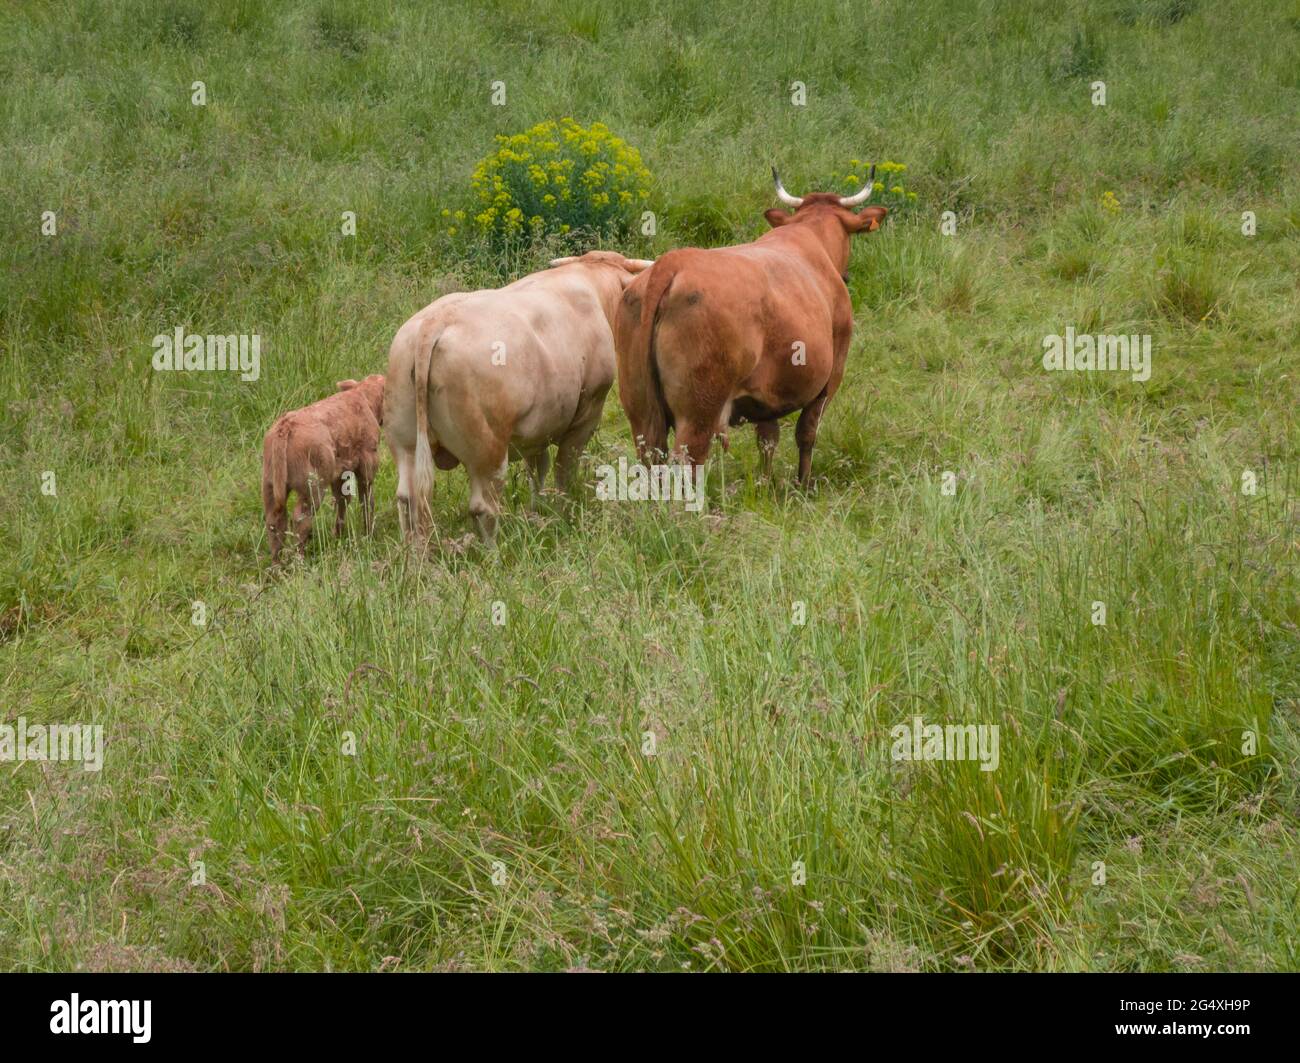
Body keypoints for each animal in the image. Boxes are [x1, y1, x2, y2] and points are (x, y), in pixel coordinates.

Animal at [261, 374, 385, 563]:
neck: (363, 399)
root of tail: (285, 427)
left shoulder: (340, 472)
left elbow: (343, 499)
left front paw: (338, 536)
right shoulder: (368, 462)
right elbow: (366, 500)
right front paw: (369, 534)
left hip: (269, 484)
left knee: (275, 521)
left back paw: (277, 565)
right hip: (313, 486)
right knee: (300, 518)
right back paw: (300, 559)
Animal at [384, 250, 654, 545]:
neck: (592, 283)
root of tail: (436, 320)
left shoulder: (537, 429)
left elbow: (538, 469)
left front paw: (538, 511)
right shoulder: (587, 414)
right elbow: (564, 469)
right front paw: (563, 513)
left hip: (405, 442)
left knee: (407, 499)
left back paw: (414, 552)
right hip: (488, 451)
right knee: (484, 507)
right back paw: (493, 552)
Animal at [614, 166, 886, 484]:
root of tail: (673, 261)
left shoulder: (767, 394)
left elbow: (768, 439)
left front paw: (764, 485)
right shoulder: (829, 380)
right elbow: (807, 433)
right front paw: (803, 484)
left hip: (640, 410)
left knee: (650, 460)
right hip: (698, 413)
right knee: (687, 465)